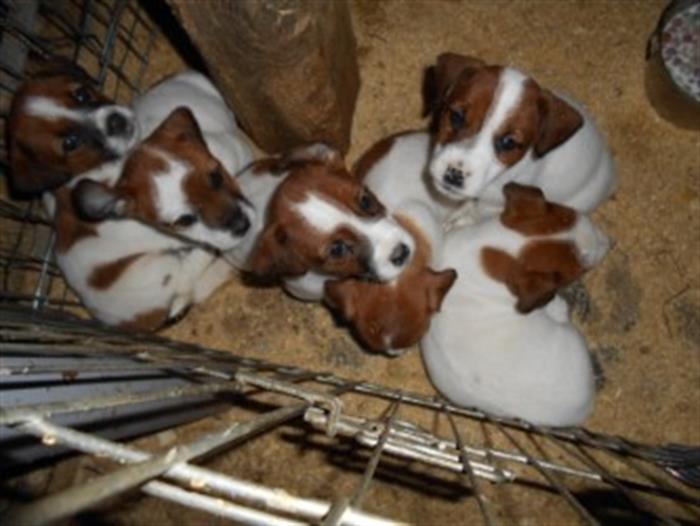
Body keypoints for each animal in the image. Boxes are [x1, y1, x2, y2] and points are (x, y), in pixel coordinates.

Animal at [55, 105, 252, 332]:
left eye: (217, 177)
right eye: (184, 220)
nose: (243, 225)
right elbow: (206, 249)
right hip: (165, 270)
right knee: (195, 286)